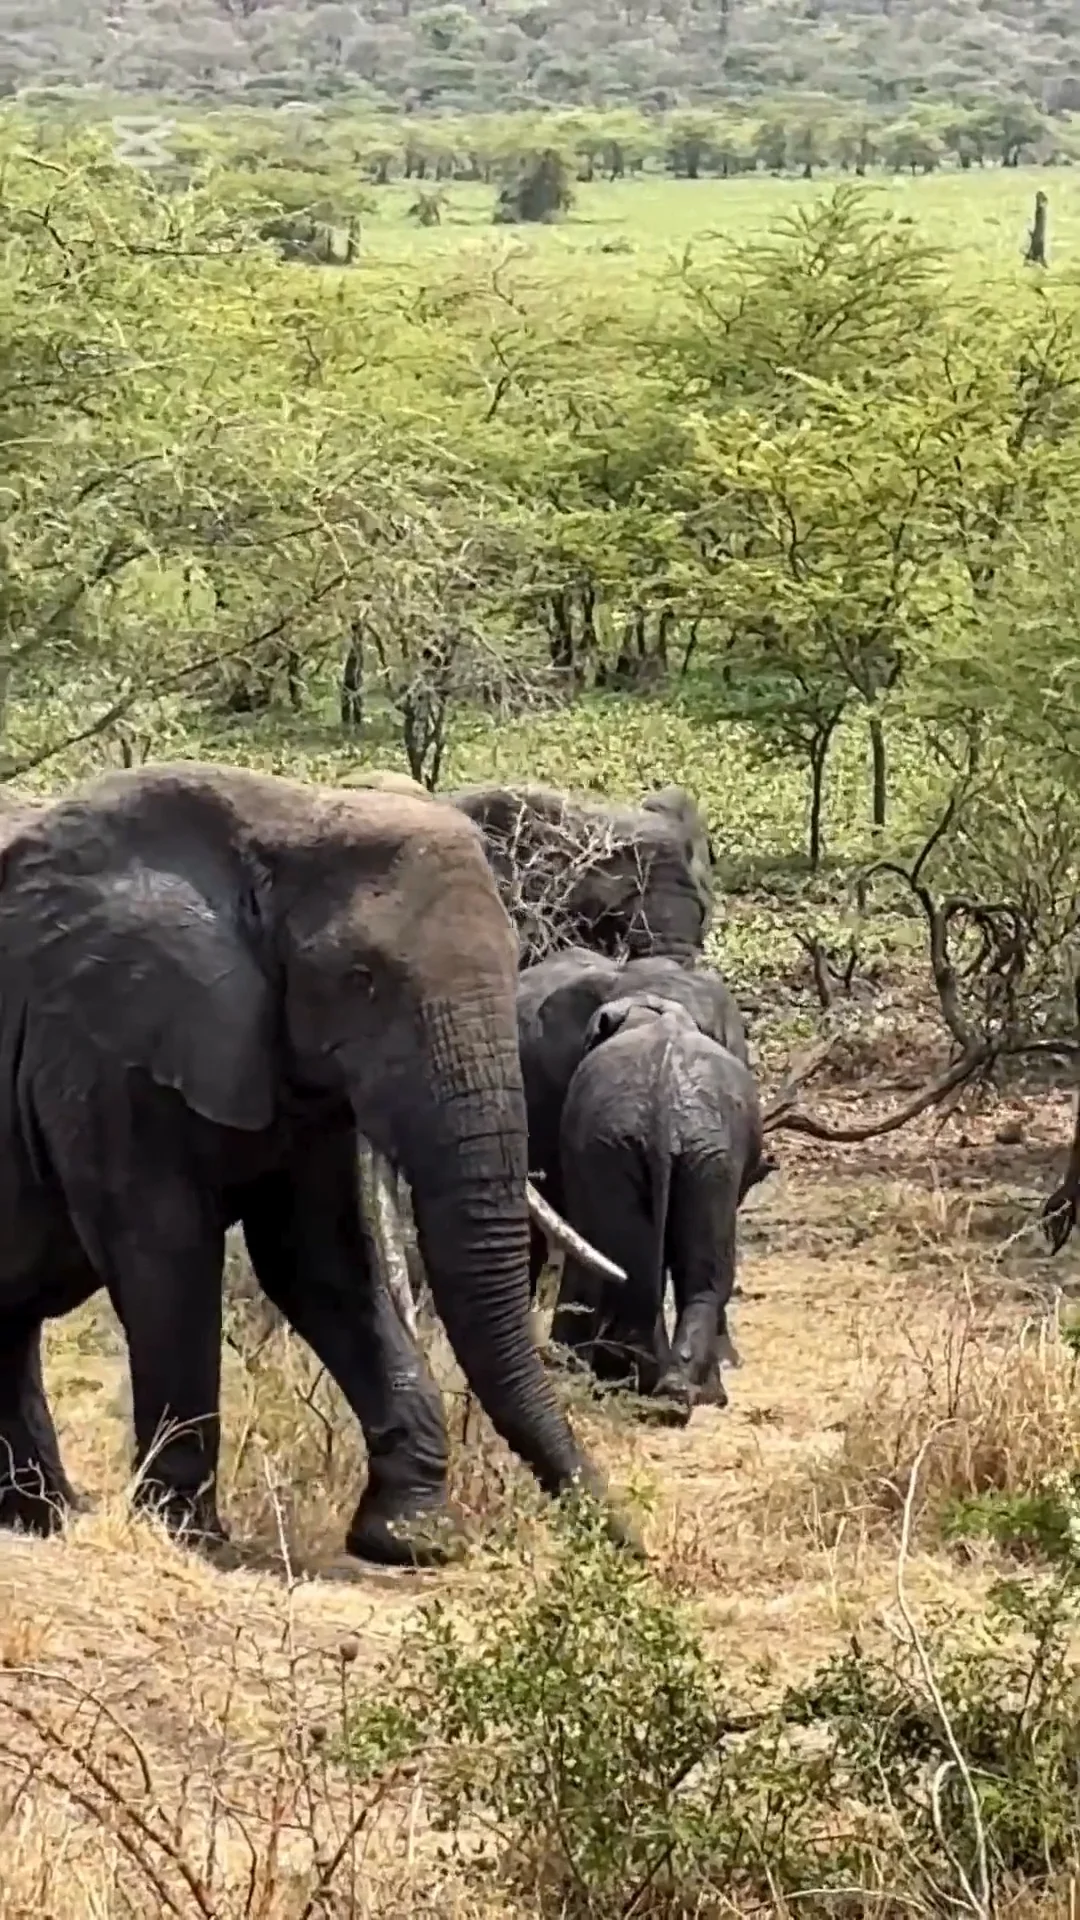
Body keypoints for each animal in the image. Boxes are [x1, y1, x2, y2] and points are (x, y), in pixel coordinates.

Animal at [0, 762, 634, 1569]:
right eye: (361, 979)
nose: (631, 1539)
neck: (287, 818)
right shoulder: (101, 1048)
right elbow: (165, 1259)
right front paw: (188, 1539)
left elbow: (319, 1263)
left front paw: (410, 1537)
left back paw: (41, 1518)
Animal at [552, 994, 770, 1419]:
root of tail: (664, 1109)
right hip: (694, 1154)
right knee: (692, 1275)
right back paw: (675, 1392)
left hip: (678, 1152)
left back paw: (657, 1389)